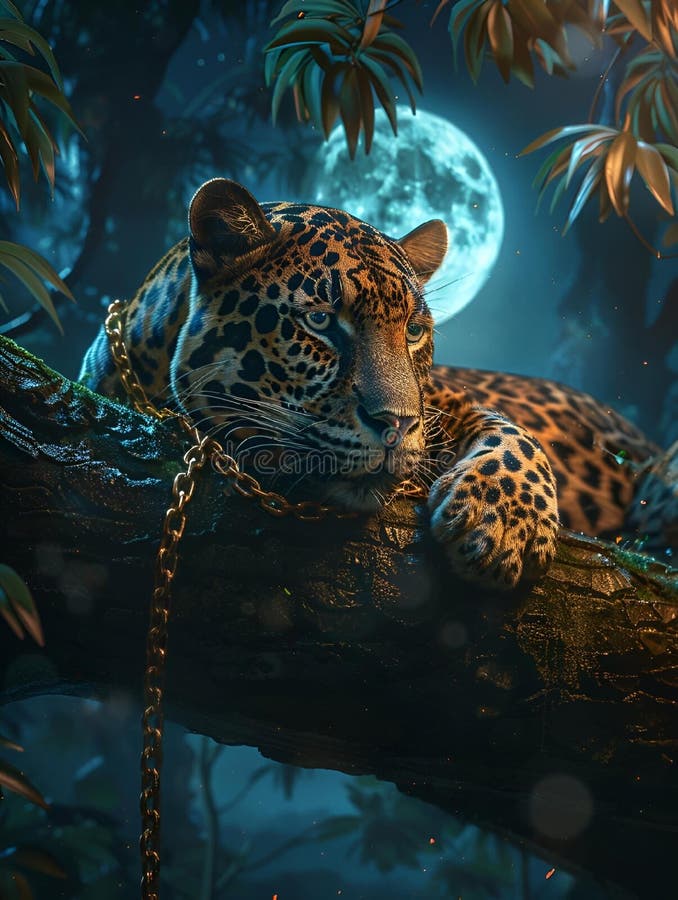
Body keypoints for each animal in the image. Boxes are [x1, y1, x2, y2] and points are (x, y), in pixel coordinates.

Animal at [79, 178, 675, 590]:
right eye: (320, 321)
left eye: (413, 330)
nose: (397, 424)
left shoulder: (444, 401)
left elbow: (511, 431)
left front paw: (506, 523)